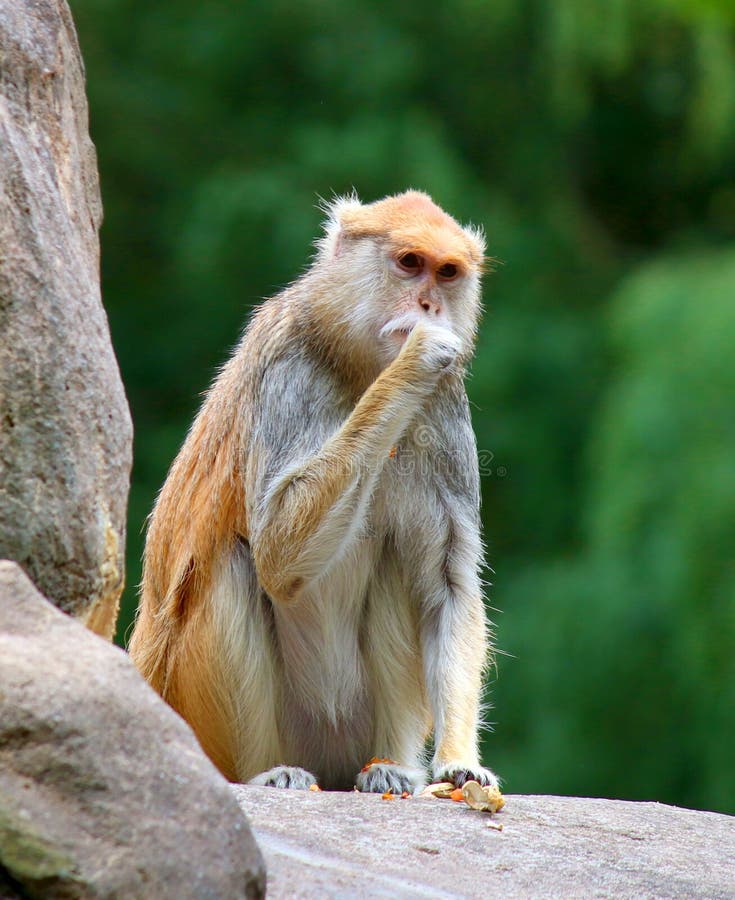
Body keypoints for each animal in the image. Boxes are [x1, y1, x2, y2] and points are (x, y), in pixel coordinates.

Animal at [128, 189, 497, 795]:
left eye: (447, 273)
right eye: (409, 263)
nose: (430, 307)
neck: (356, 363)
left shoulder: (447, 410)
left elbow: (448, 583)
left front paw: (459, 762)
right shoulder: (287, 370)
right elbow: (277, 554)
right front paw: (415, 359)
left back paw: (389, 767)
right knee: (234, 564)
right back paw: (265, 772)